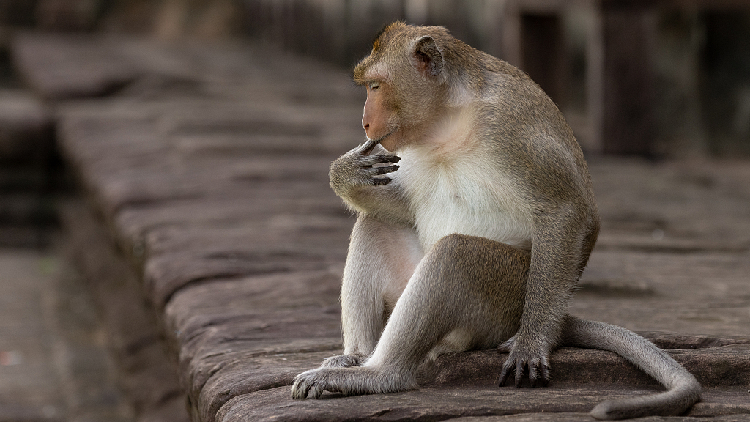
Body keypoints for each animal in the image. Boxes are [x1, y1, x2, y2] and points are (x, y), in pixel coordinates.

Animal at [291, 22, 701, 420]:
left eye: (376, 86)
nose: (364, 122)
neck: (450, 117)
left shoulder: (511, 126)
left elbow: (568, 210)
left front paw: (533, 340)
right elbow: (400, 209)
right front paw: (346, 173)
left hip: (503, 303)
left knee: (456, 254)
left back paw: (379, 374)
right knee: (376, 223)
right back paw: (357, 357)